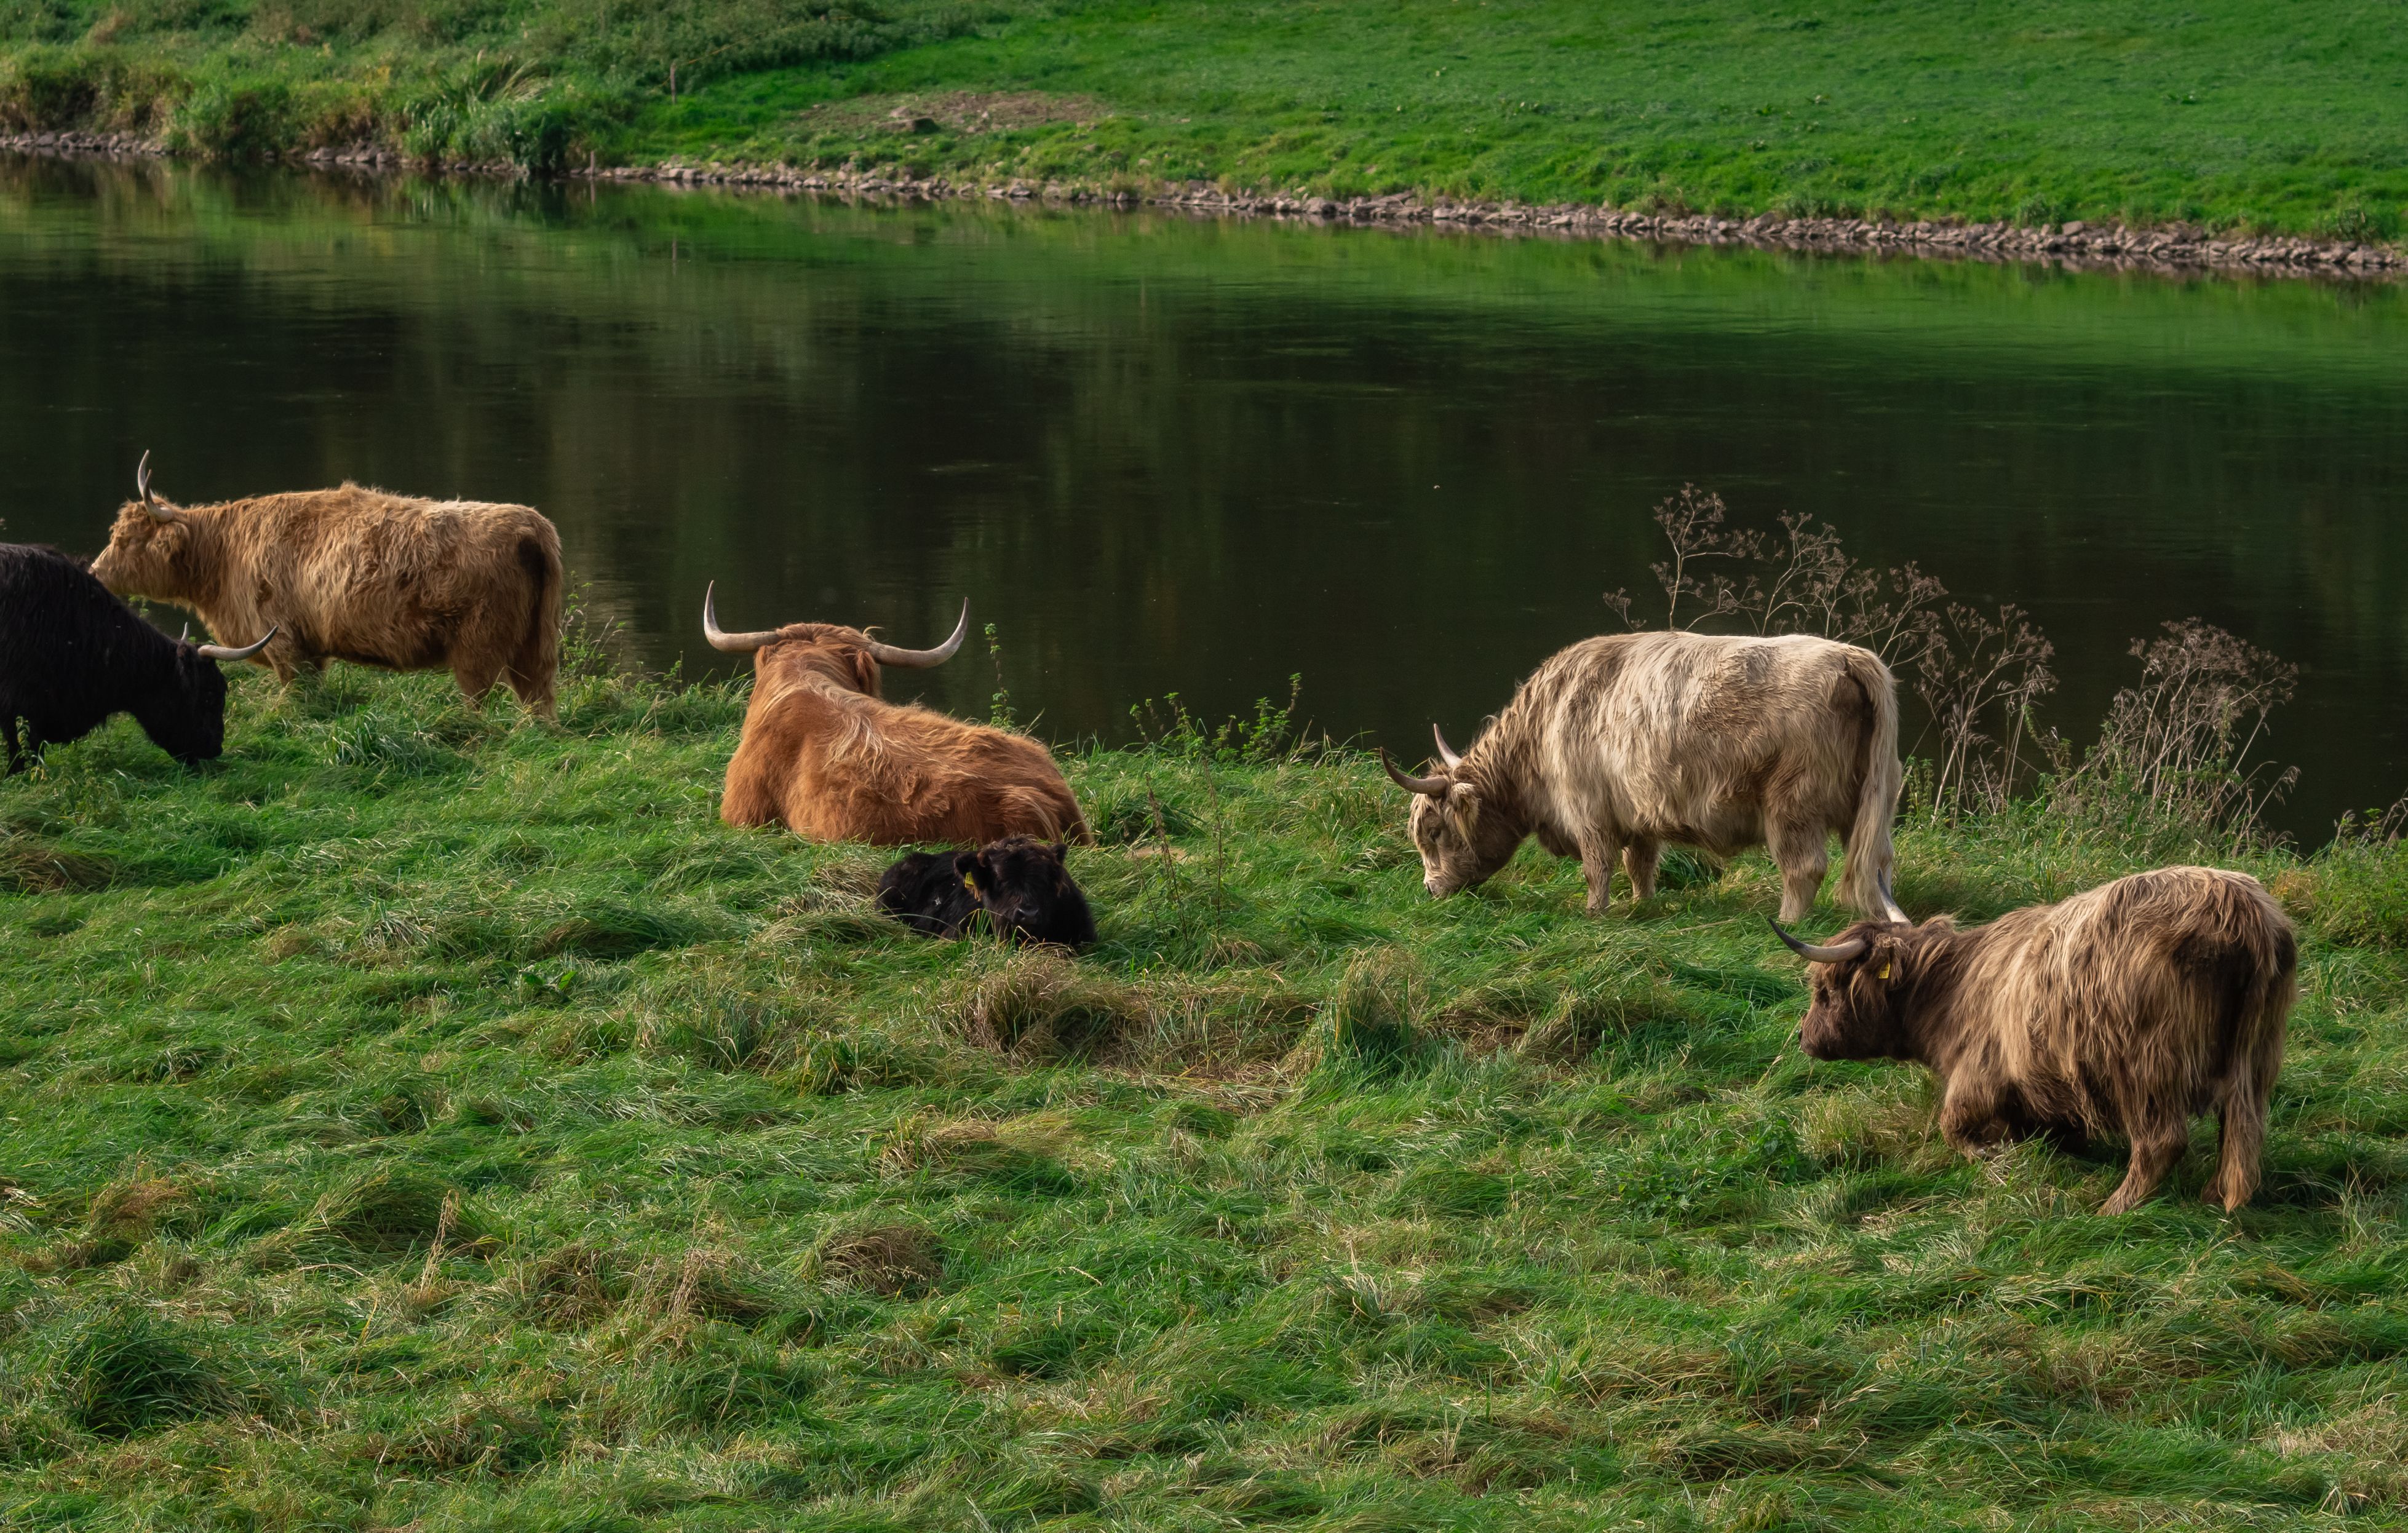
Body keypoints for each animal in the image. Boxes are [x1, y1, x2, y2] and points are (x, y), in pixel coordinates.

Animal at [88, 454, 562, 716]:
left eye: (126, 540)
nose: (94, 572)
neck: (225, 554)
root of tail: (529, 525)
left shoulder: (284, 643)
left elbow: (294, 695)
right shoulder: (311, 649)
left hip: (477, 647)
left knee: (479, 701)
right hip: (536, 645)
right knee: (540, 702)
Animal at [1381, 630, 1905, 922]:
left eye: (1434, 832)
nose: (1430, 889)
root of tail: (1847, 657)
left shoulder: (1588, 811)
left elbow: (1597, 867)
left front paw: (1594, 913)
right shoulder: (1638, 811)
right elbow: (1640, 864)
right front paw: (1642, 905)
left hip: (1793, 802)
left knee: (1804, 866)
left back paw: (1790, 921)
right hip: (1869, 800)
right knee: (1877, 862)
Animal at [1772, 865, 2296, 1214]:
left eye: (1825, 990)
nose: (1803, 1036)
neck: (1952, 989)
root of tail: (2244, 914)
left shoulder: (1978, 1077)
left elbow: (1951, 1125)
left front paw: (1992, 1155)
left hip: (2145, 1062)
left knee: (2161, 1141)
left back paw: (2111, 1209)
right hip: (2256, 1055)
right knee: (2242, 1130)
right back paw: (2214, 1197)